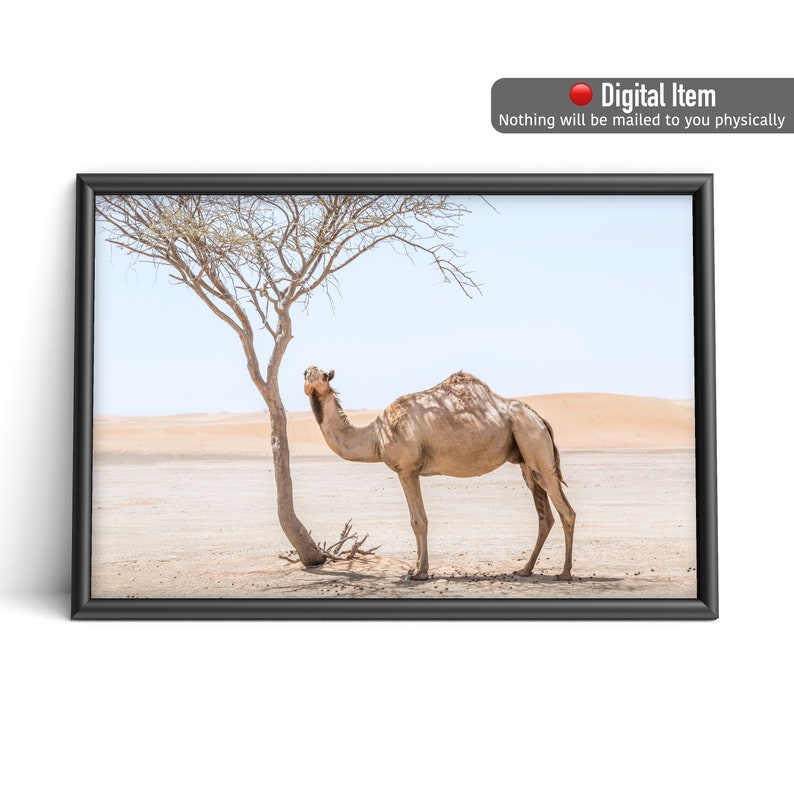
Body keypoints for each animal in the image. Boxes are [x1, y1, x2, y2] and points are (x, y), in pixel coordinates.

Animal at [303, 366, 575, 581]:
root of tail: (540, 419)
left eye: (324, 376)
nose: (310, 377)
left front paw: (419, 572)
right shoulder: (405, 471)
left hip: (533, 442)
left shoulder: (408, 469)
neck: (375, 436)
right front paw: (415, 568)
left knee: (566, 511)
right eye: (305, 373)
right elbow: (415, 520)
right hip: (527, 459)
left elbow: (418, 521)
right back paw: (525, 570)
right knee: (544, 515)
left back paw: (564, 573)